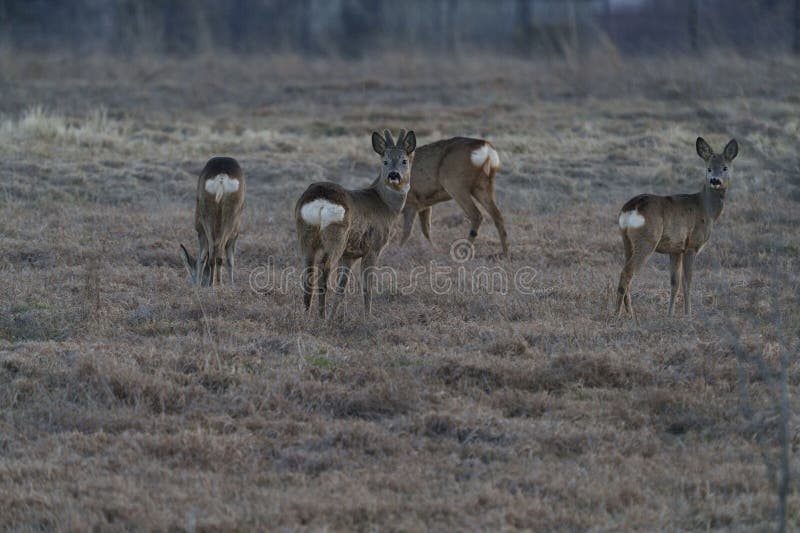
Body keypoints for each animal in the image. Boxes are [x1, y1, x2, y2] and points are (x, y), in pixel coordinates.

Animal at [179, 156, 246, 287]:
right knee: (217, 249)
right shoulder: (234, 235)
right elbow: (230, 259)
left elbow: (204, 256)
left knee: (212, 251)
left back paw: (213, 284)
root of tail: (221, 176)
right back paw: (218, 284)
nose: (194, 284)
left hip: (208, 211)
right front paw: (232, 285)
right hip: (229, 214)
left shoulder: (201, 232)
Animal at [295, 129, 416, 319]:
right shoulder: (373, 247)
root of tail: (320, 199)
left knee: (308, 273)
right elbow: (367, 285)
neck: (386, 205)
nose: (394, 175)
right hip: (336, 235)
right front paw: (368, 316)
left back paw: (307, 315)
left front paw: (337, 317)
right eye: (385, 161)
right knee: (323, 268)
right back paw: (321, 316)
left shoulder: (349, 254)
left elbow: (341, 287)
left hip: (305, 234)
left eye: (404, 160)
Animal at [615, 137, 739, 319]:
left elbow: (675, 282)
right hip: (647, 240)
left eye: (725, 167)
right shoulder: (691, 245)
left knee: (626, 271)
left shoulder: (675, 250)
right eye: (708, 168)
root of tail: (631, 207)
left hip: (626, 240)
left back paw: (630, 314)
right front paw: (688, 315)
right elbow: (688, 282)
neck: (706, 208)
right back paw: (617, 314)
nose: (715, 180)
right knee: (627, 272)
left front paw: (670, 314)